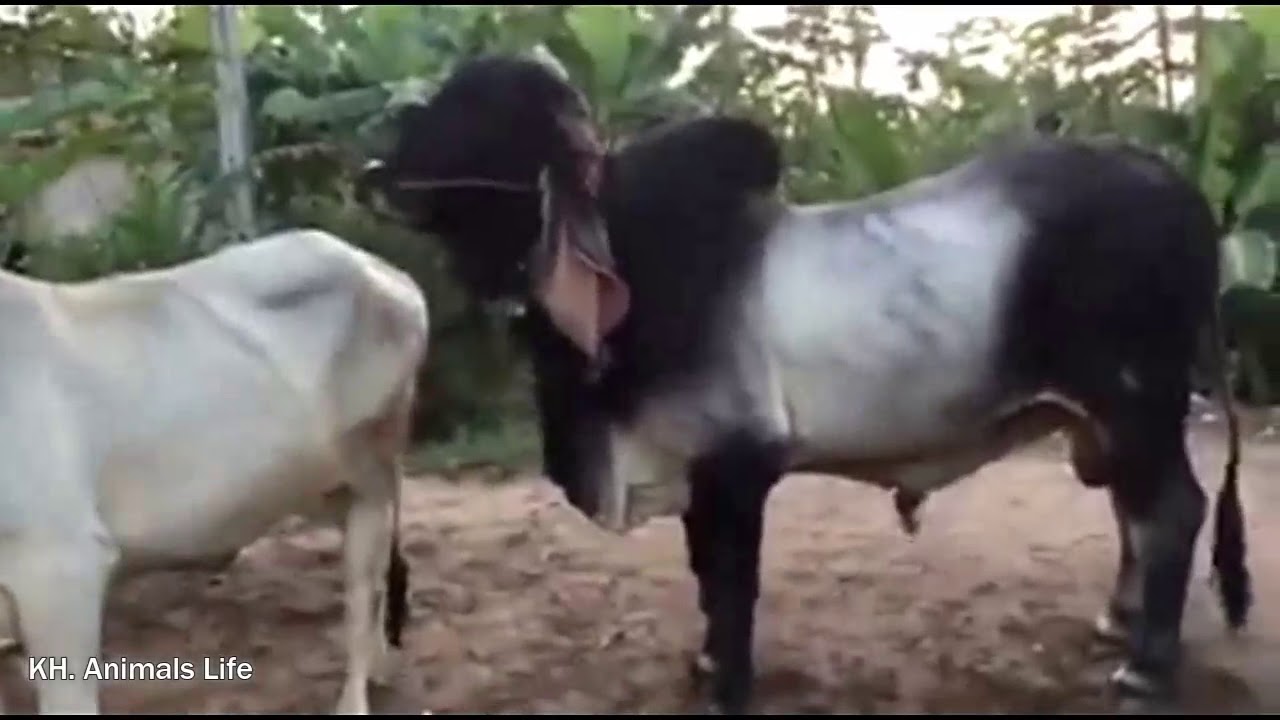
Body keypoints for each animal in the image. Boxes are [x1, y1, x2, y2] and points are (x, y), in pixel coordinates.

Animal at [360, 53, 1250, 713]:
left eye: (480, 112)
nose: (376, 171)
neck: (633, 268)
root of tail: (1174, 186)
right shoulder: (698, 472)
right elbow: (706, 579)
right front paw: (706, 667)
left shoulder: (738, 465)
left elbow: (730, 585)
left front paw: (729, 685)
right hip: (1110, 420)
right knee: (1137, 514)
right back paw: (1118, 625)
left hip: (1136, 401)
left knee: (1172, 512)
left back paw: (1147, 670)